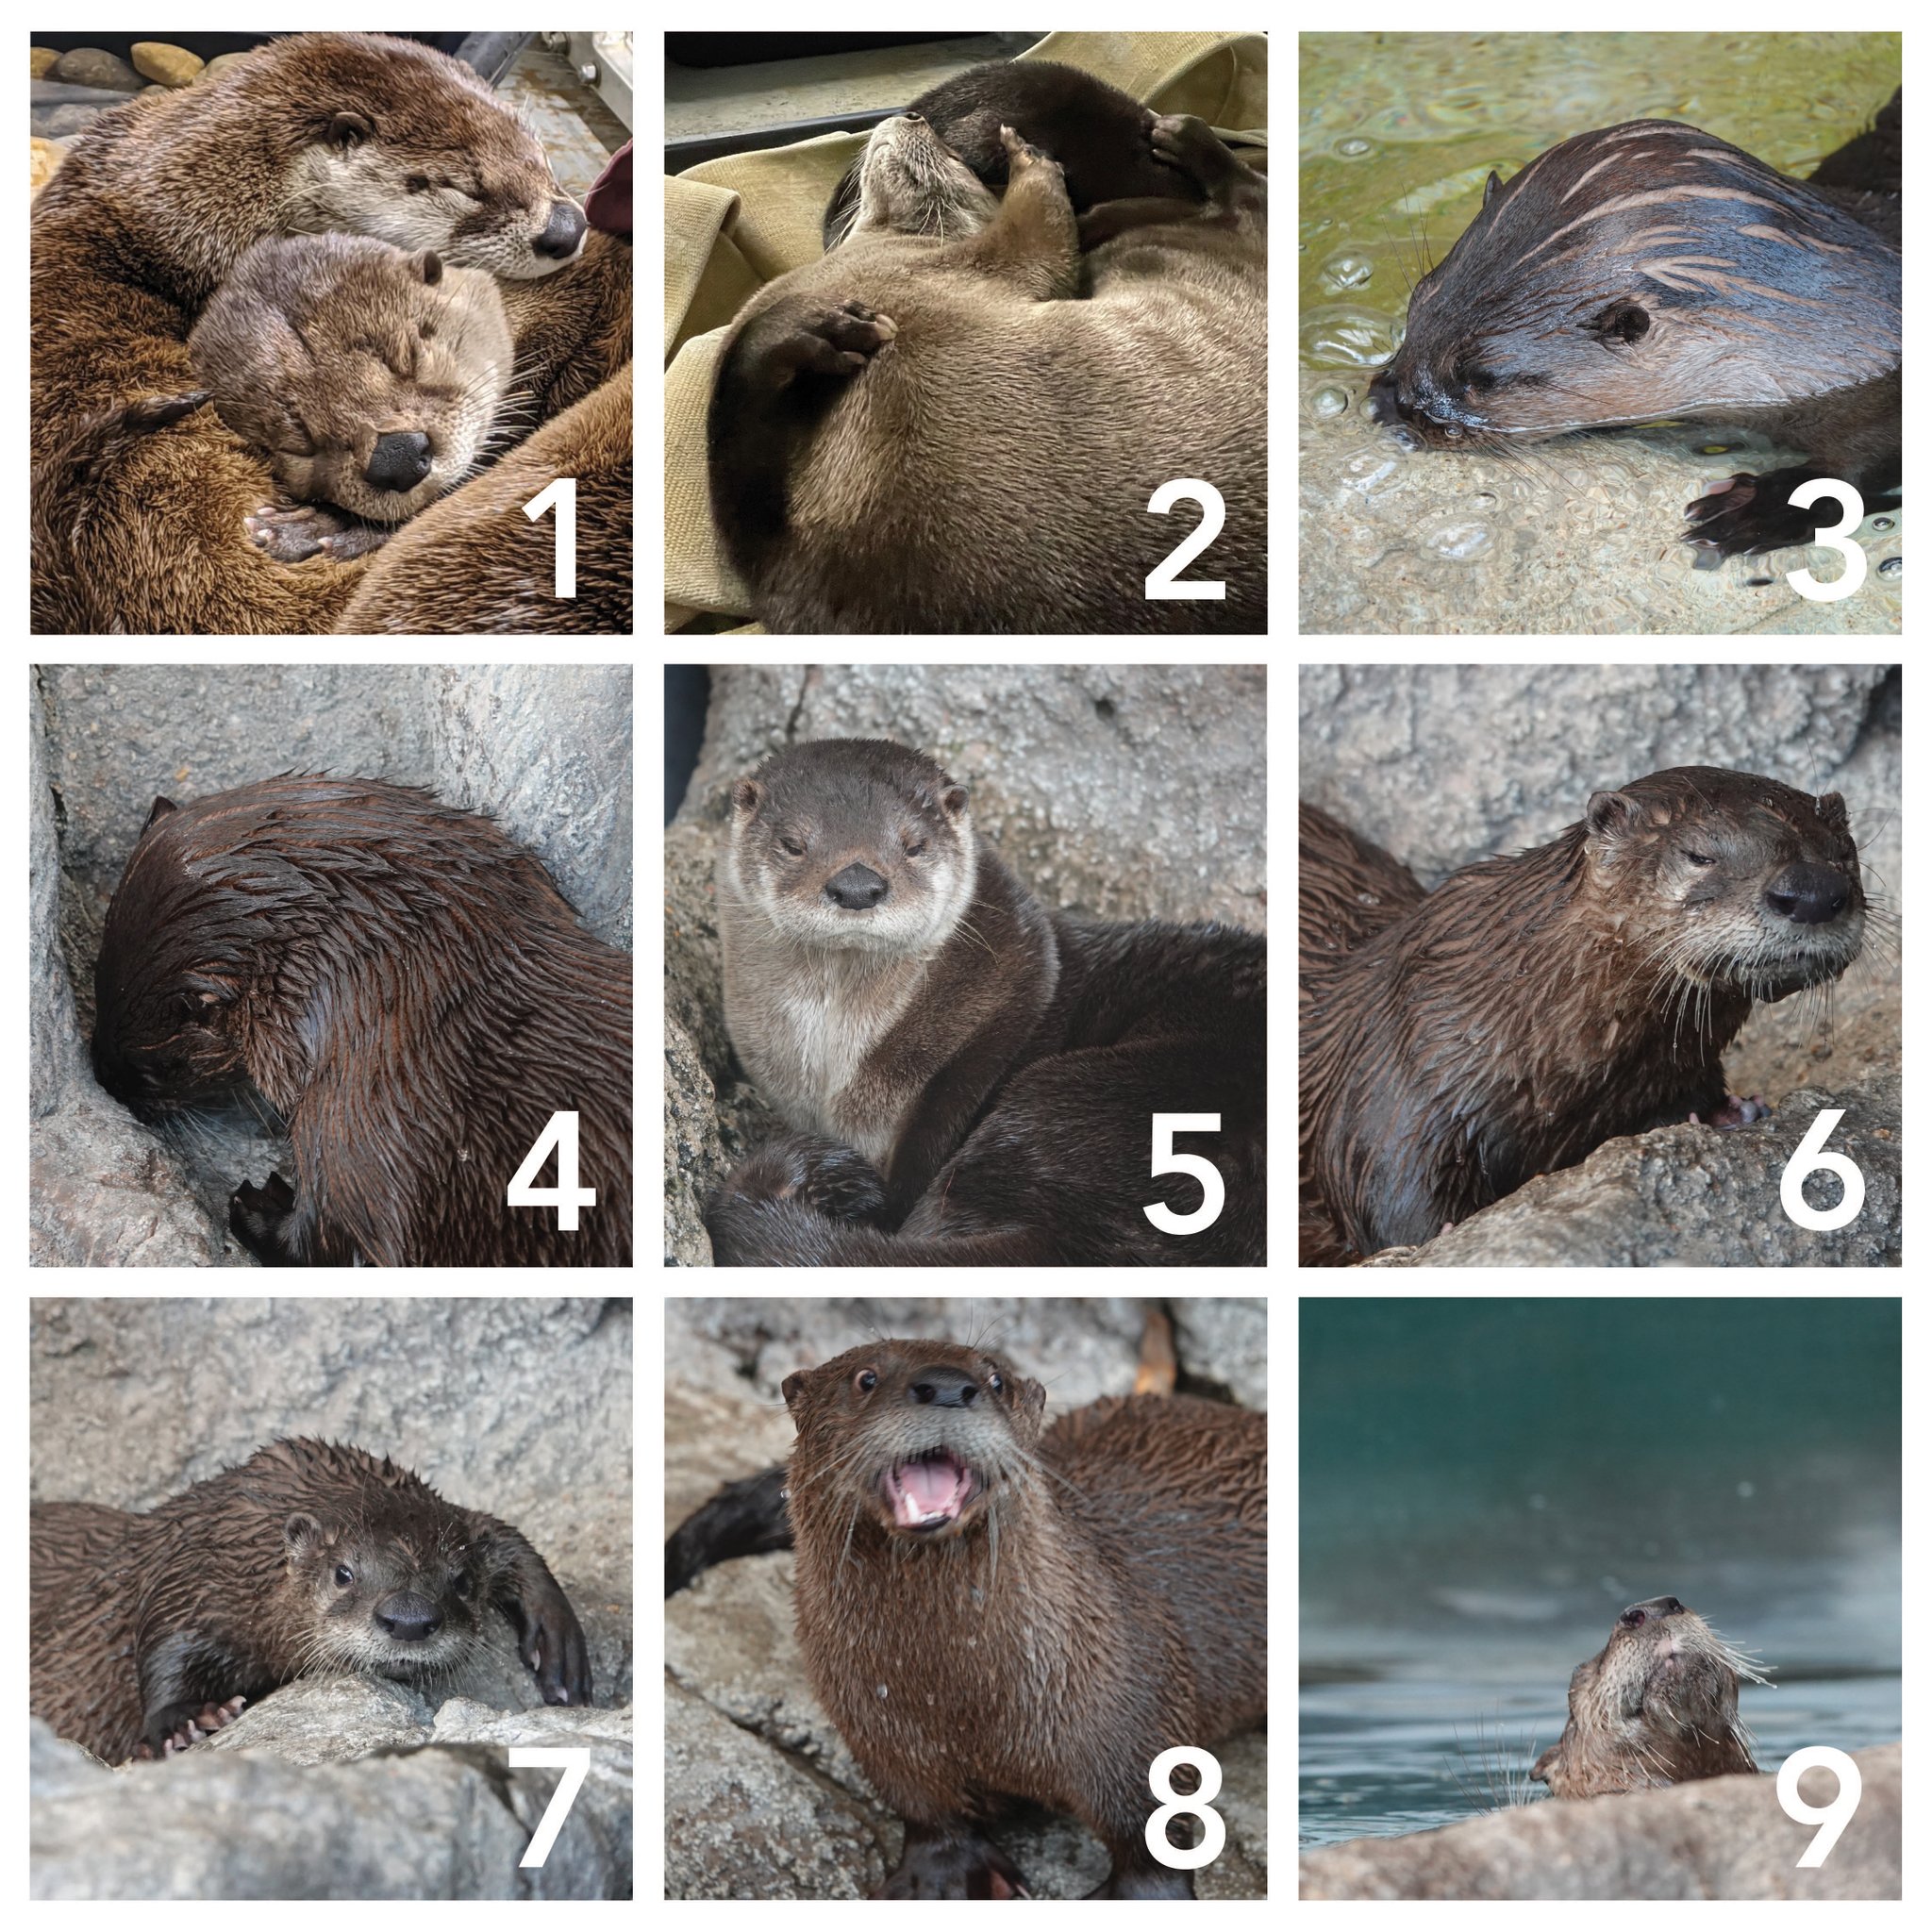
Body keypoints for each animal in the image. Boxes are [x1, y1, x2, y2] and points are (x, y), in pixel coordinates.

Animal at [31, 1437, 590, 1765]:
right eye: (343, 1573)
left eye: (462, 1580)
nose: (409, 1618)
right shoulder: (199, 1569)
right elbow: (166, 1636)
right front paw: (185, 1721)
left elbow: (509, 1536)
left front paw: (559, 1645)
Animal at [91, 776, 632, 1265]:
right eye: (95, 1006)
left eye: (154, 1068)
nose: (102, 1079)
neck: (402, 989)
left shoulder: (356, 1125)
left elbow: (322, 1236)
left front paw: (255, 1205)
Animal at [708, 113, 1265, 633]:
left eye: (956, 154)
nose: (914, 116)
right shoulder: (774, 558)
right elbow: (729, 434)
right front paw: (819, 329)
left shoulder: (983, 266)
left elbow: (1040, 232)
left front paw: (1028, 156)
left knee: (1250, 197)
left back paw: (1185, 141)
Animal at [773, 1339, 1265, 1897]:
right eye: (866, 1378)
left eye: (996, 1381)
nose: (947, 1386)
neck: (960, 1696)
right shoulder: (876, 1730)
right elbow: (928, 1811)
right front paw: (934, 1879)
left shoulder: (1142, 1714)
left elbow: (1154, 1833)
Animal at [1301, 768, 1867, 1261]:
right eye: (1699, 855)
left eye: (1844, 852)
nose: (1812, 890)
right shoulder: (1391, 1105)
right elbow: (1404, 1225)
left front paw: (1729, 1113)